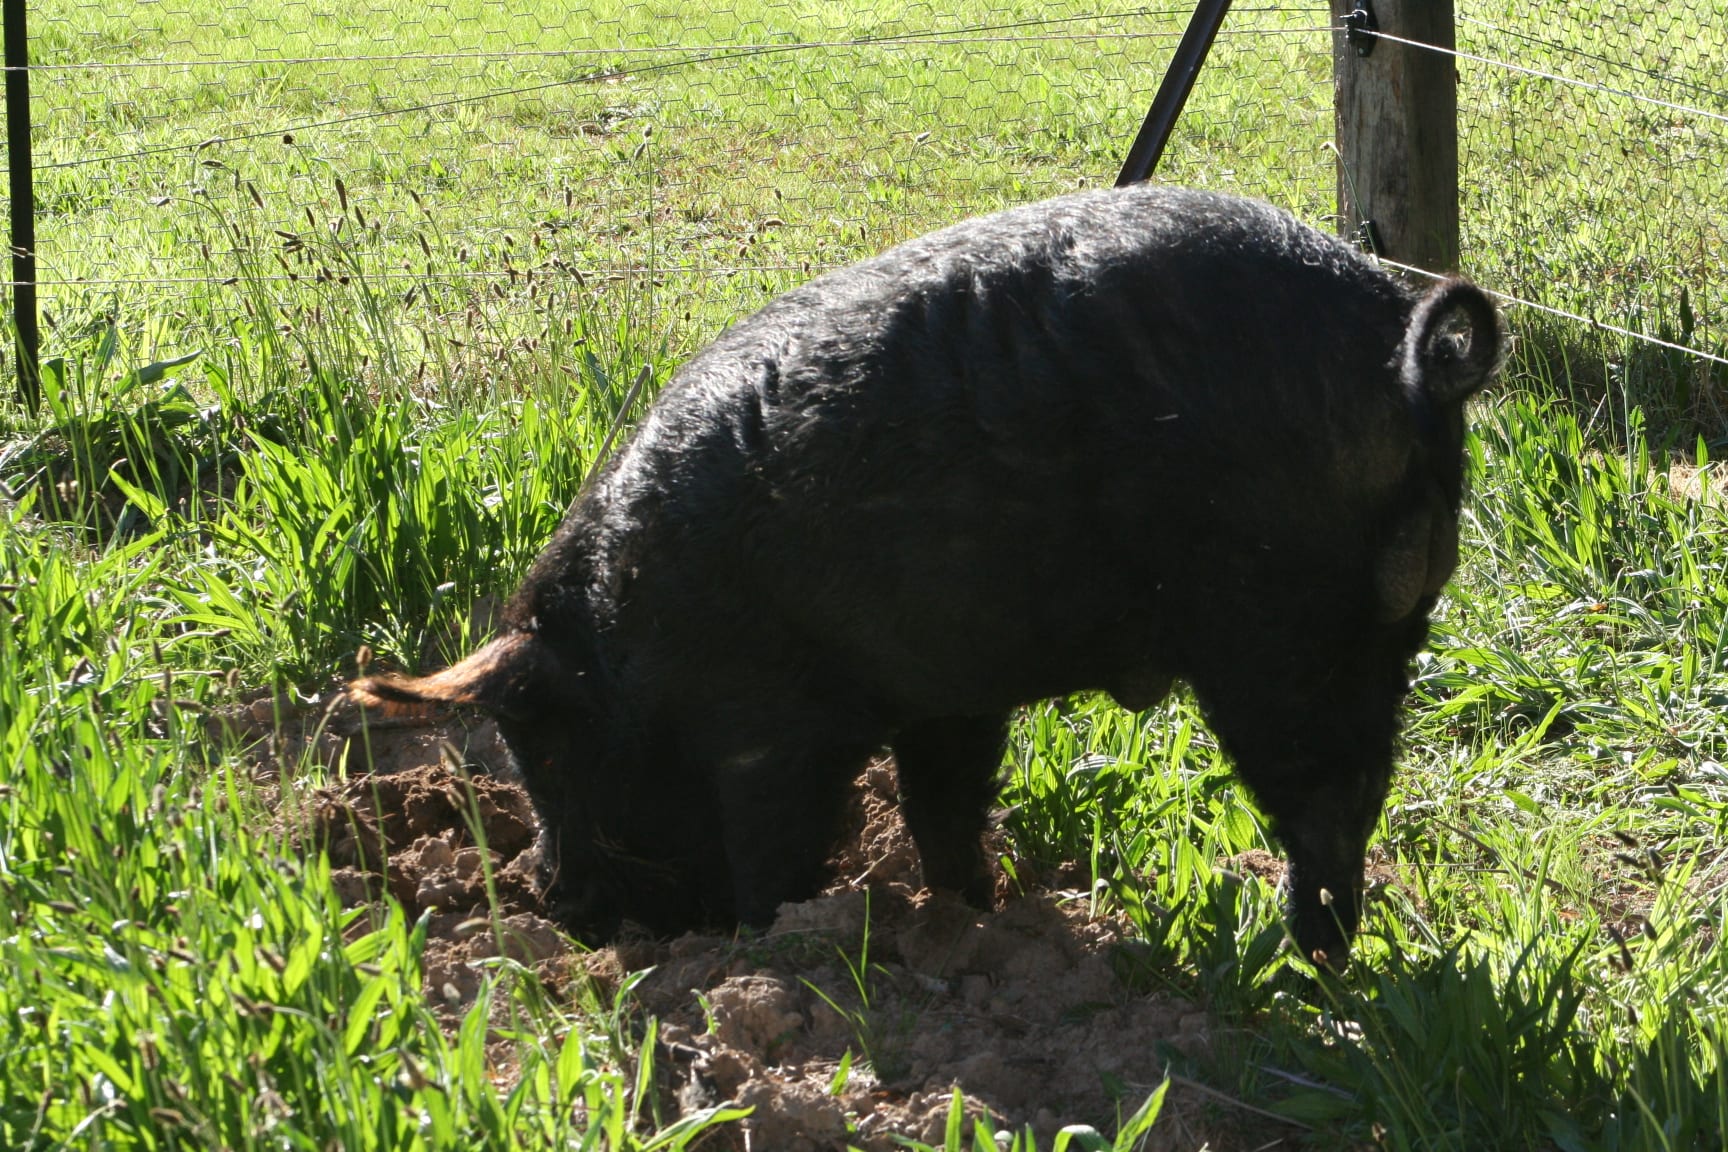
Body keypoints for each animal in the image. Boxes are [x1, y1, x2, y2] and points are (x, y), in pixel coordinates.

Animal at [351, 184, 1501, 969]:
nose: (562, 911)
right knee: (1365, 780)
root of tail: (1410, 358)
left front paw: (771, 954)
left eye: (541, 744)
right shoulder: (949, 693)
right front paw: (975, 925)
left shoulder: (765, 729)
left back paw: (1300, 961)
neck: (628, 639)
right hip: (1378, 627)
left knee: (1329, 800)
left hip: (1278, 636)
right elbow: (940, 812)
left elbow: (776, 854)